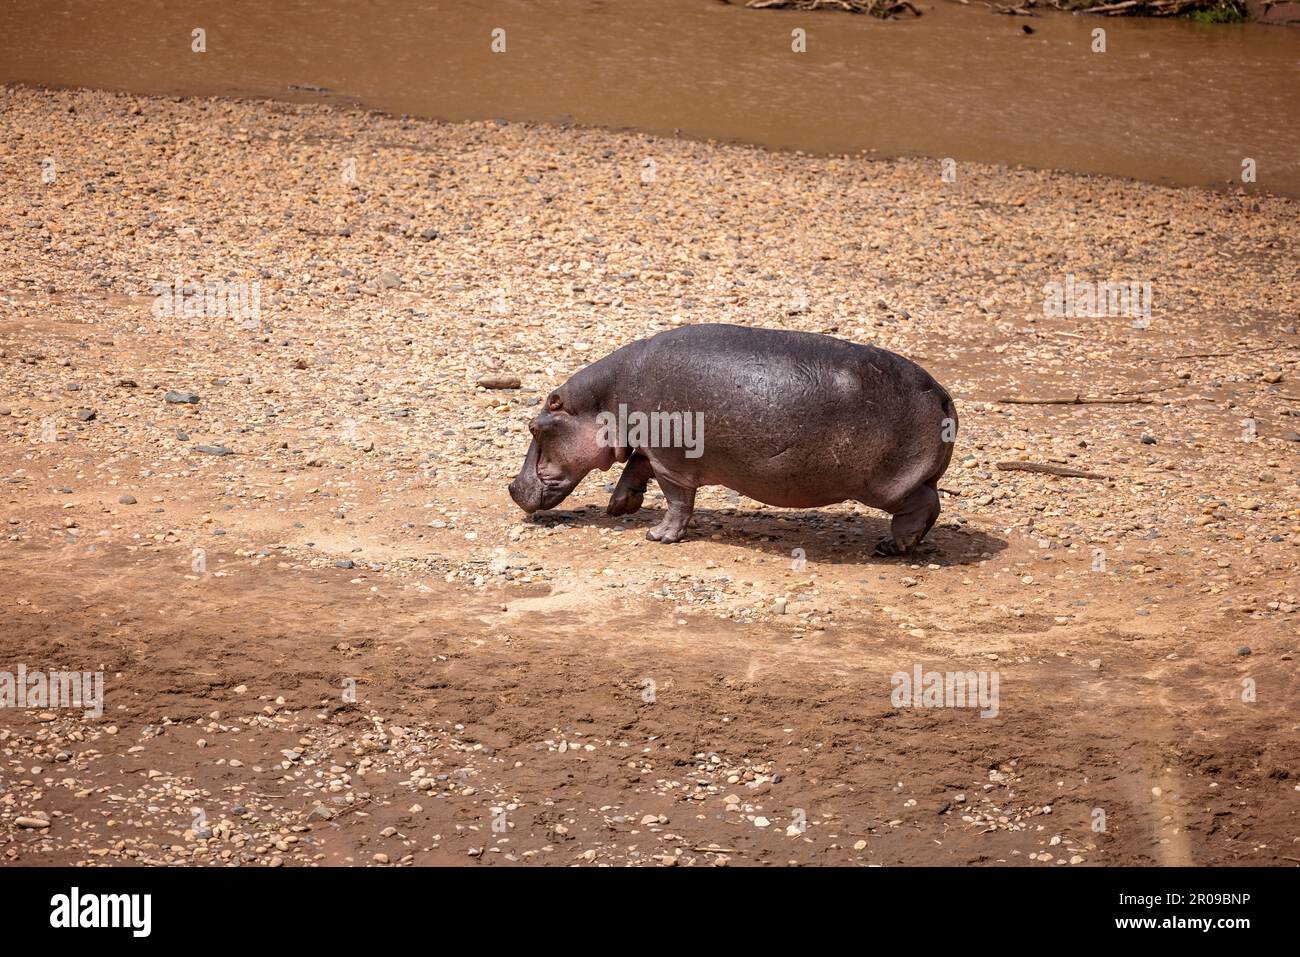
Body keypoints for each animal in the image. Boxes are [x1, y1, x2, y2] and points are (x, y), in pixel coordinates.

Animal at [507, 323, 957, 556]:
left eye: (534, 427)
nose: (511, 487)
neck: (602, 402)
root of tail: (940, 392)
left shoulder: (671, 462)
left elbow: (676, 500)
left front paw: (658, 536)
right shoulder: (652, 448)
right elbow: (635, 467)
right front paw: (619, 507)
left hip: (891, 484)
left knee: (925, 505)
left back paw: (892, 546)